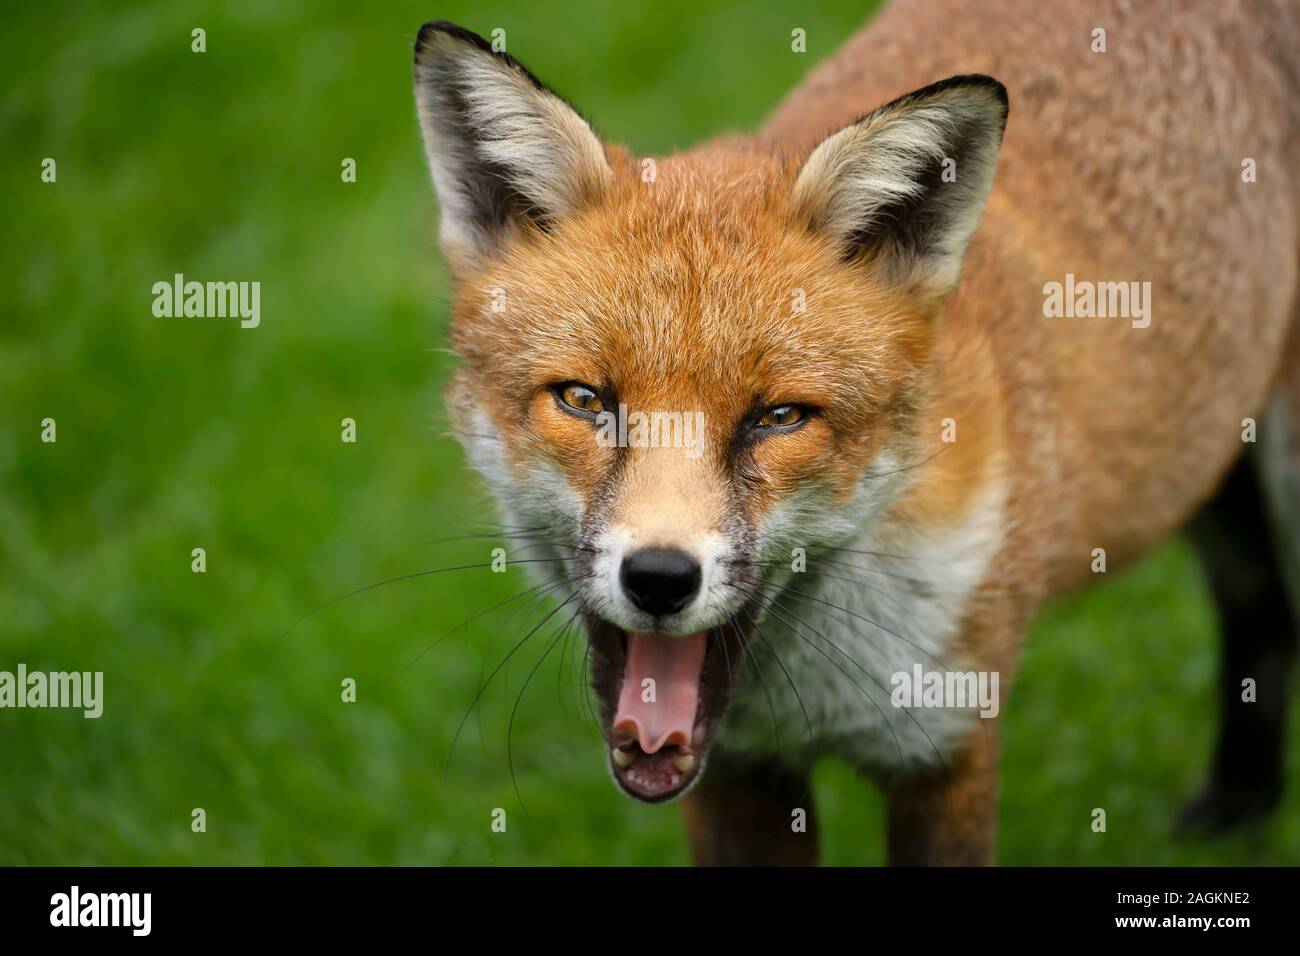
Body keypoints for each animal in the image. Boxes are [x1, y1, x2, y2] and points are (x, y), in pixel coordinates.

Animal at [411, 0, 1300, 865]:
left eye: (779, 417)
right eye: (584, 399)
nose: (660, 578)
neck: (811, 690)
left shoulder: (949, 744)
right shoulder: (744, 772)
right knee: (1260, 608)